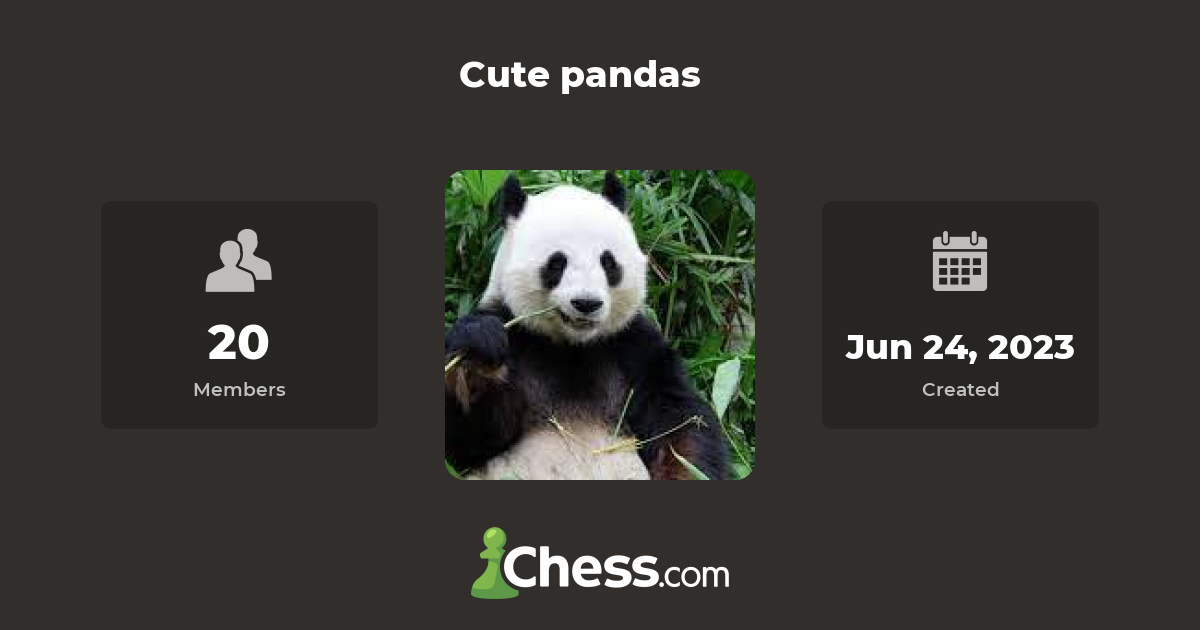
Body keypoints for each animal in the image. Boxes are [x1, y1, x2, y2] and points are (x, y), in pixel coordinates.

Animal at [445, 171, 728, 480]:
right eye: (557, 263)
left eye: (608, 262)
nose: (586, 303)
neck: (573, 346)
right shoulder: (517, 336)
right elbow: (472, 440)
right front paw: (478, 349)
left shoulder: (633, 346)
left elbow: (679, 424)